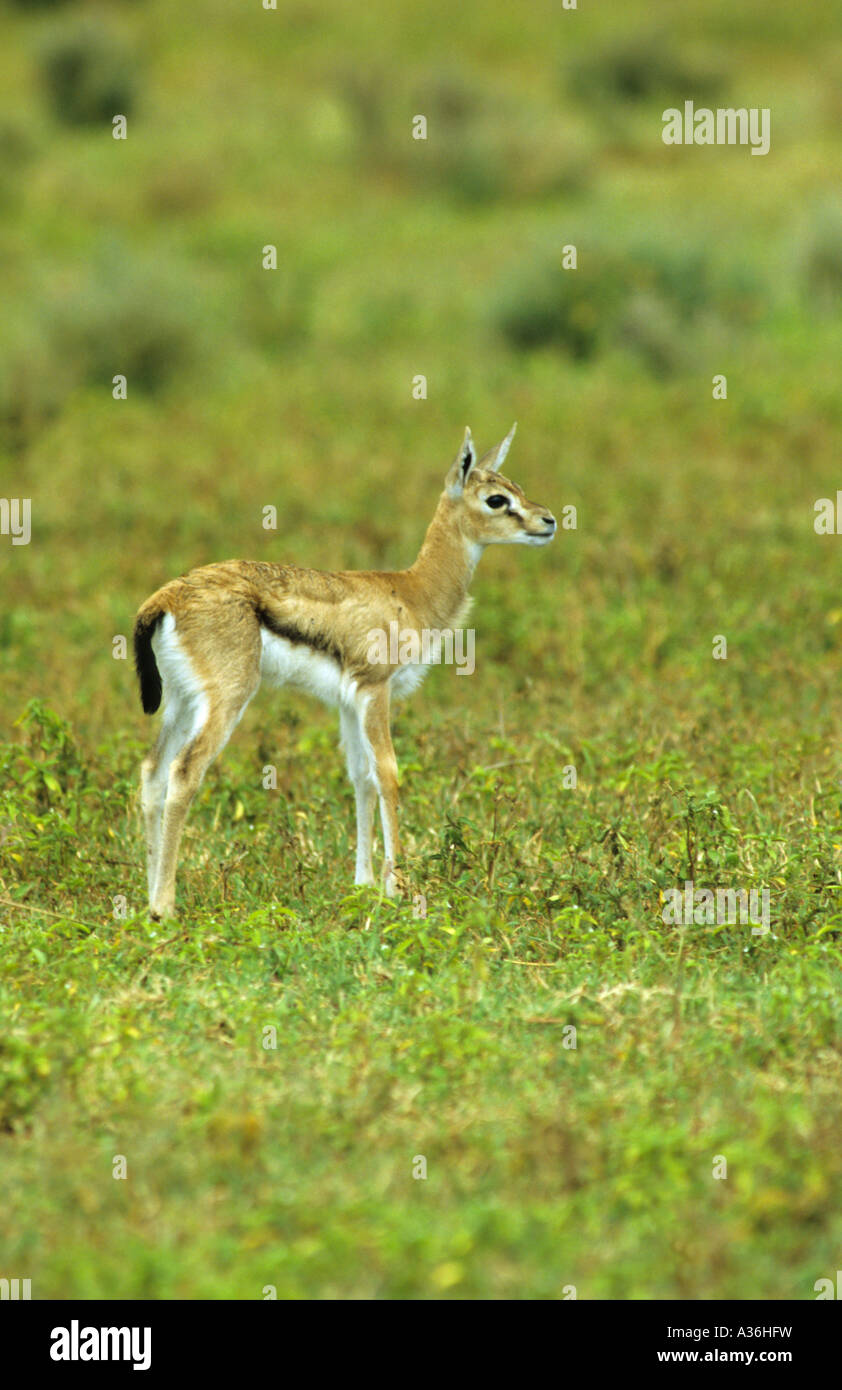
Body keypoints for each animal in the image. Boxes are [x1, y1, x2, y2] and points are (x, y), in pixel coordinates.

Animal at [133, 425, 556, 920]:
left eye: (517, 487)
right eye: (495, 499)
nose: (549, 521)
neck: (411, 592)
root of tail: (166, 597)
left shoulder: (349, 703)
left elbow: (361, 778)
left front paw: (364, 885)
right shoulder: (376, 691)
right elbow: (388, 773)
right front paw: (399, 888)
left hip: (183, 701)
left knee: (152, 771)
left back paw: (148, 897)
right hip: (227, 700)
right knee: (184, 772)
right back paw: (165, 906)